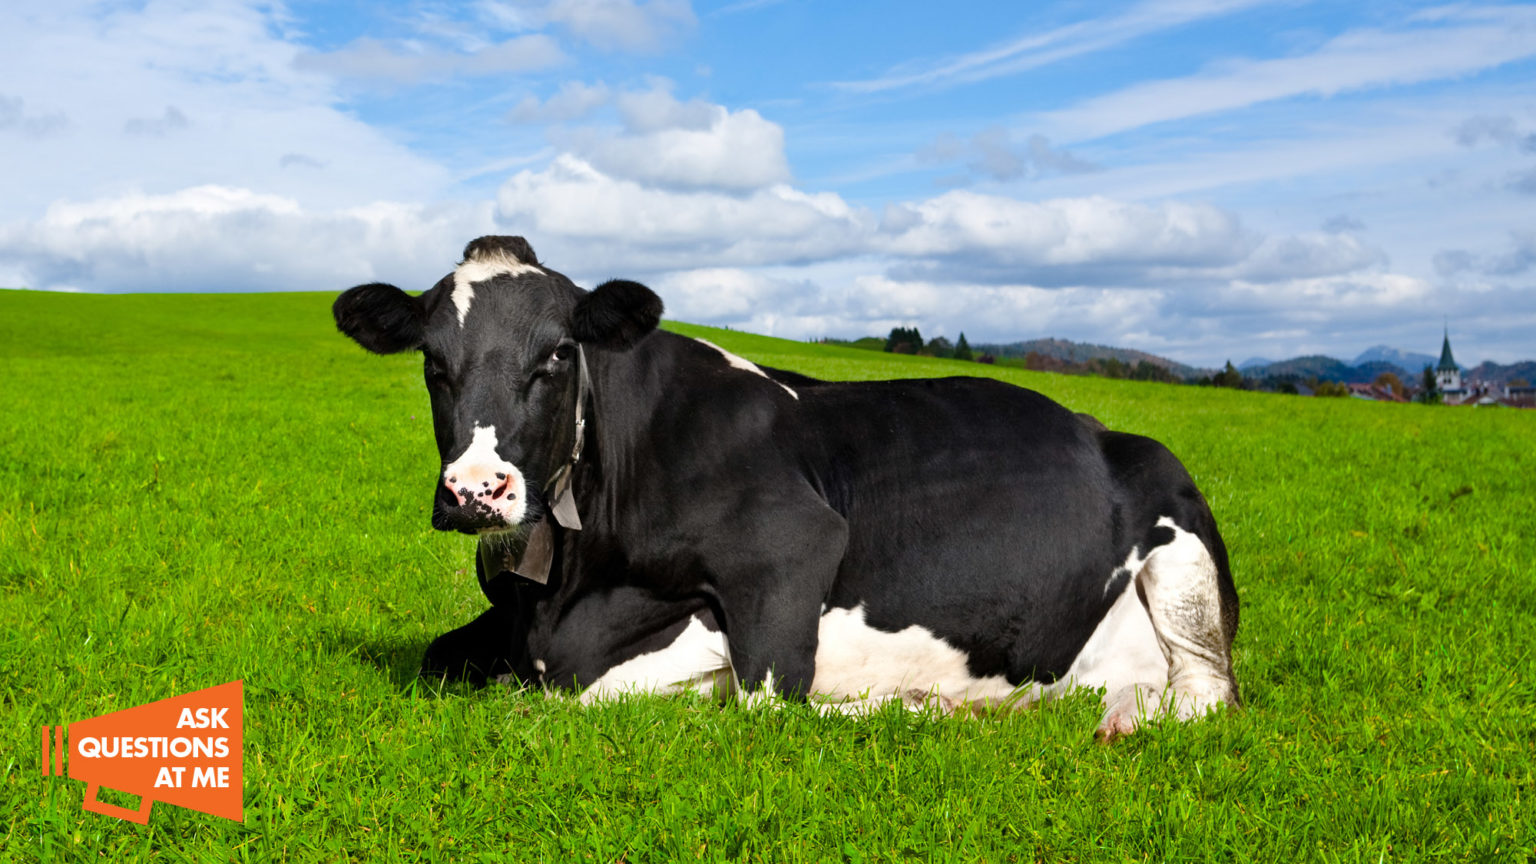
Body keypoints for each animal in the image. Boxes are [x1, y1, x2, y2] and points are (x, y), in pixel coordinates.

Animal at [334, 235, 1241, 739]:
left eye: (557, 353)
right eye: (432, 360)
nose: (476, 491)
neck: (564, 587)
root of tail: (1099, 429)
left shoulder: (792, 549)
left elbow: (756, 700)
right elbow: (445, 657)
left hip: (1181, 548)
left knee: (1208, 694)